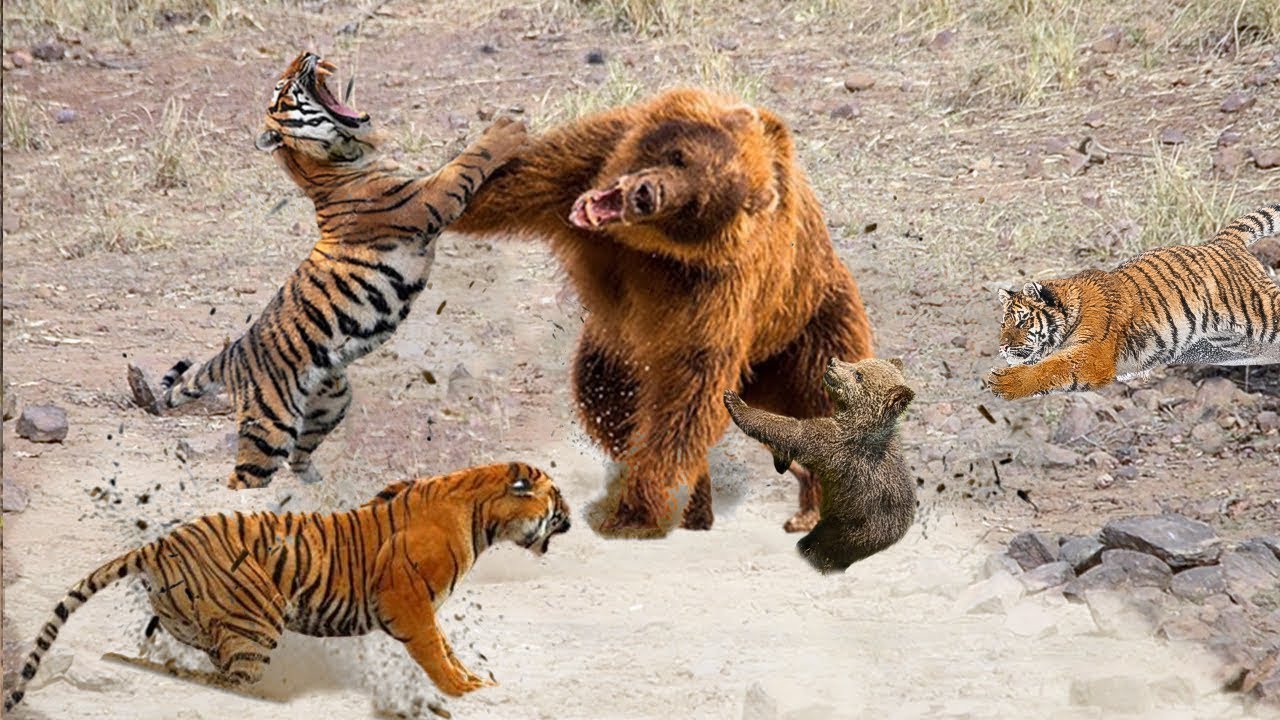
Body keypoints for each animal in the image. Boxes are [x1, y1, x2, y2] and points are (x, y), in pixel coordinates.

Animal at [448, 88, 874, 533]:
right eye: (679, 156)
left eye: (696, 204)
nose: (646, 194)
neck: (640, 246)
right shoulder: (583, 163)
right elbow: (505, 189)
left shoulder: (714, 290)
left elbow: (688, 393)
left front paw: (637, 512)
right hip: (622, 353)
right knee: (600, 394)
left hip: (810, 334)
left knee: (821, 415)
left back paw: (813, 510)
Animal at [723, 357, 916, 573]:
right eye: (858, 363)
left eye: (858, 375)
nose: (833, 362)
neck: (858, 425)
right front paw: (781, 461)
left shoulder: (838, 447)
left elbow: (792, 429)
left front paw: (735, 401)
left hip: (856, 529)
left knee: (827, 548)